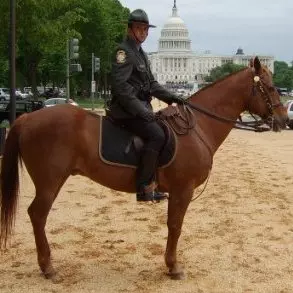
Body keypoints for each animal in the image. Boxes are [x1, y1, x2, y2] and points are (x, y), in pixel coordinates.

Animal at [0, 56, 288, 280]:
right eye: (271, 87)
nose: (285, 120)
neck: (197, 128)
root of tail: (26, 117)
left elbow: (174, 226)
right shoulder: (182, 190)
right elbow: (175, 226)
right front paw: (173, 267)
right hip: (49, 182)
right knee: (37, 215)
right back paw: (48, 267)